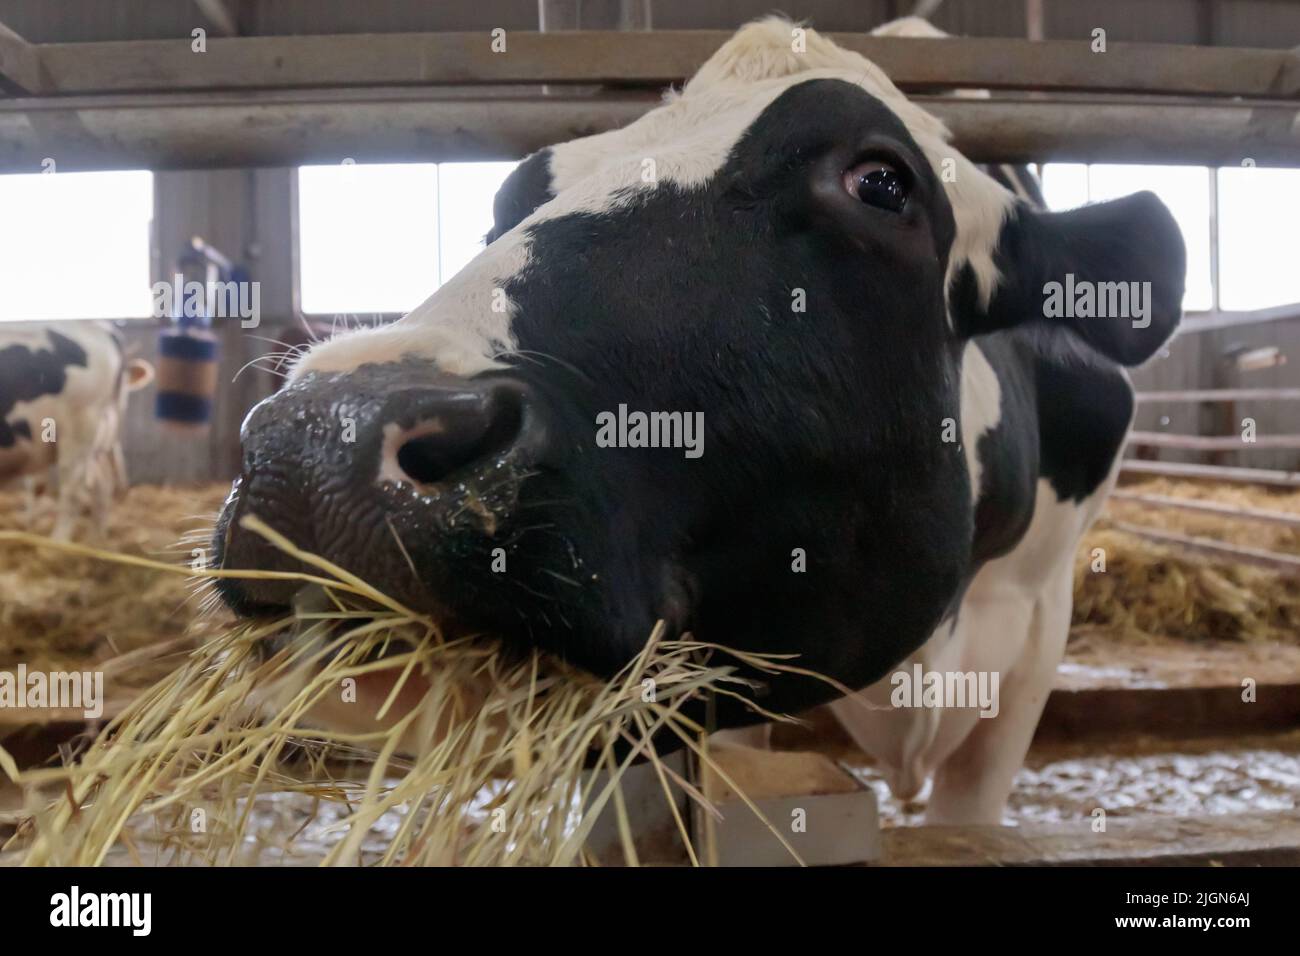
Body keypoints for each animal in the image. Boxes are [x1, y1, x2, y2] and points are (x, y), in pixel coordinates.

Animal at [0, 322, 154, 539]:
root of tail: (101, 326)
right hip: (97, 438)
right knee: (102, 485)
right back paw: (95, 542)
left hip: (79, 431)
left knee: (73, 494)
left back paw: (57, 544)